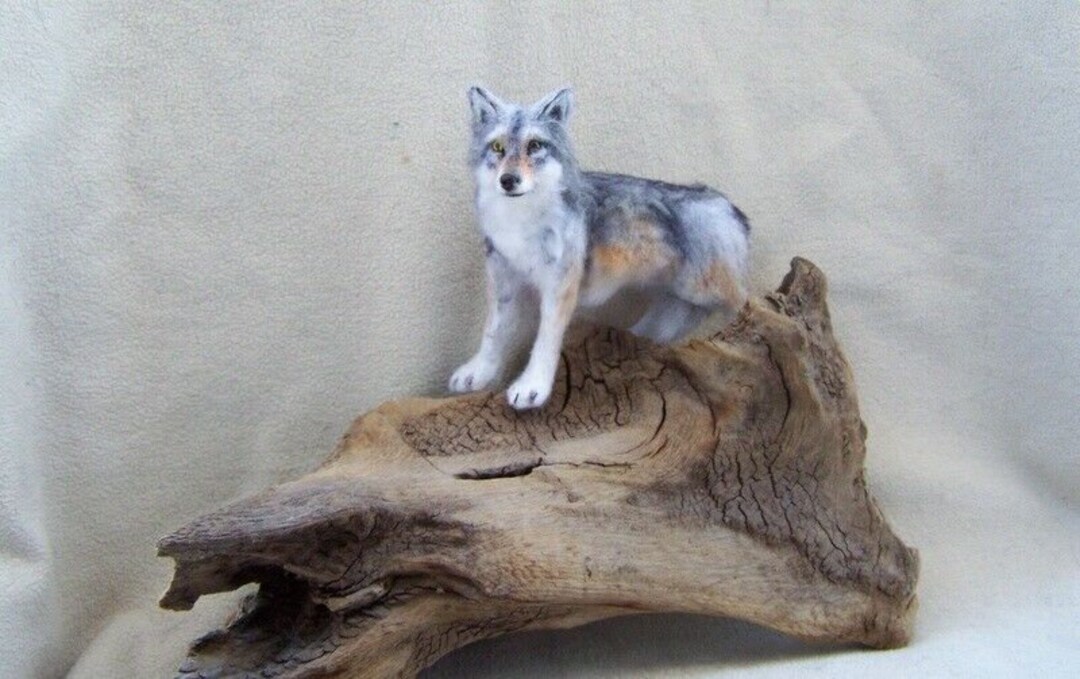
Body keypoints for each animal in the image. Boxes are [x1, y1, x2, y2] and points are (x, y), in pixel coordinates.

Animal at [449, 86, 750, 410]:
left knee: (746, 305)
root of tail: (732, 209)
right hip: (677, 301)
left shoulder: (559, 288)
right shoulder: (503, 279)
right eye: (497, 147)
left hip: (707, 292)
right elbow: (493, 332)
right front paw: (478, 373)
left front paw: (532, 388)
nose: (508, 180)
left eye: (535, 145)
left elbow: (544, 340)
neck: (520, 224)